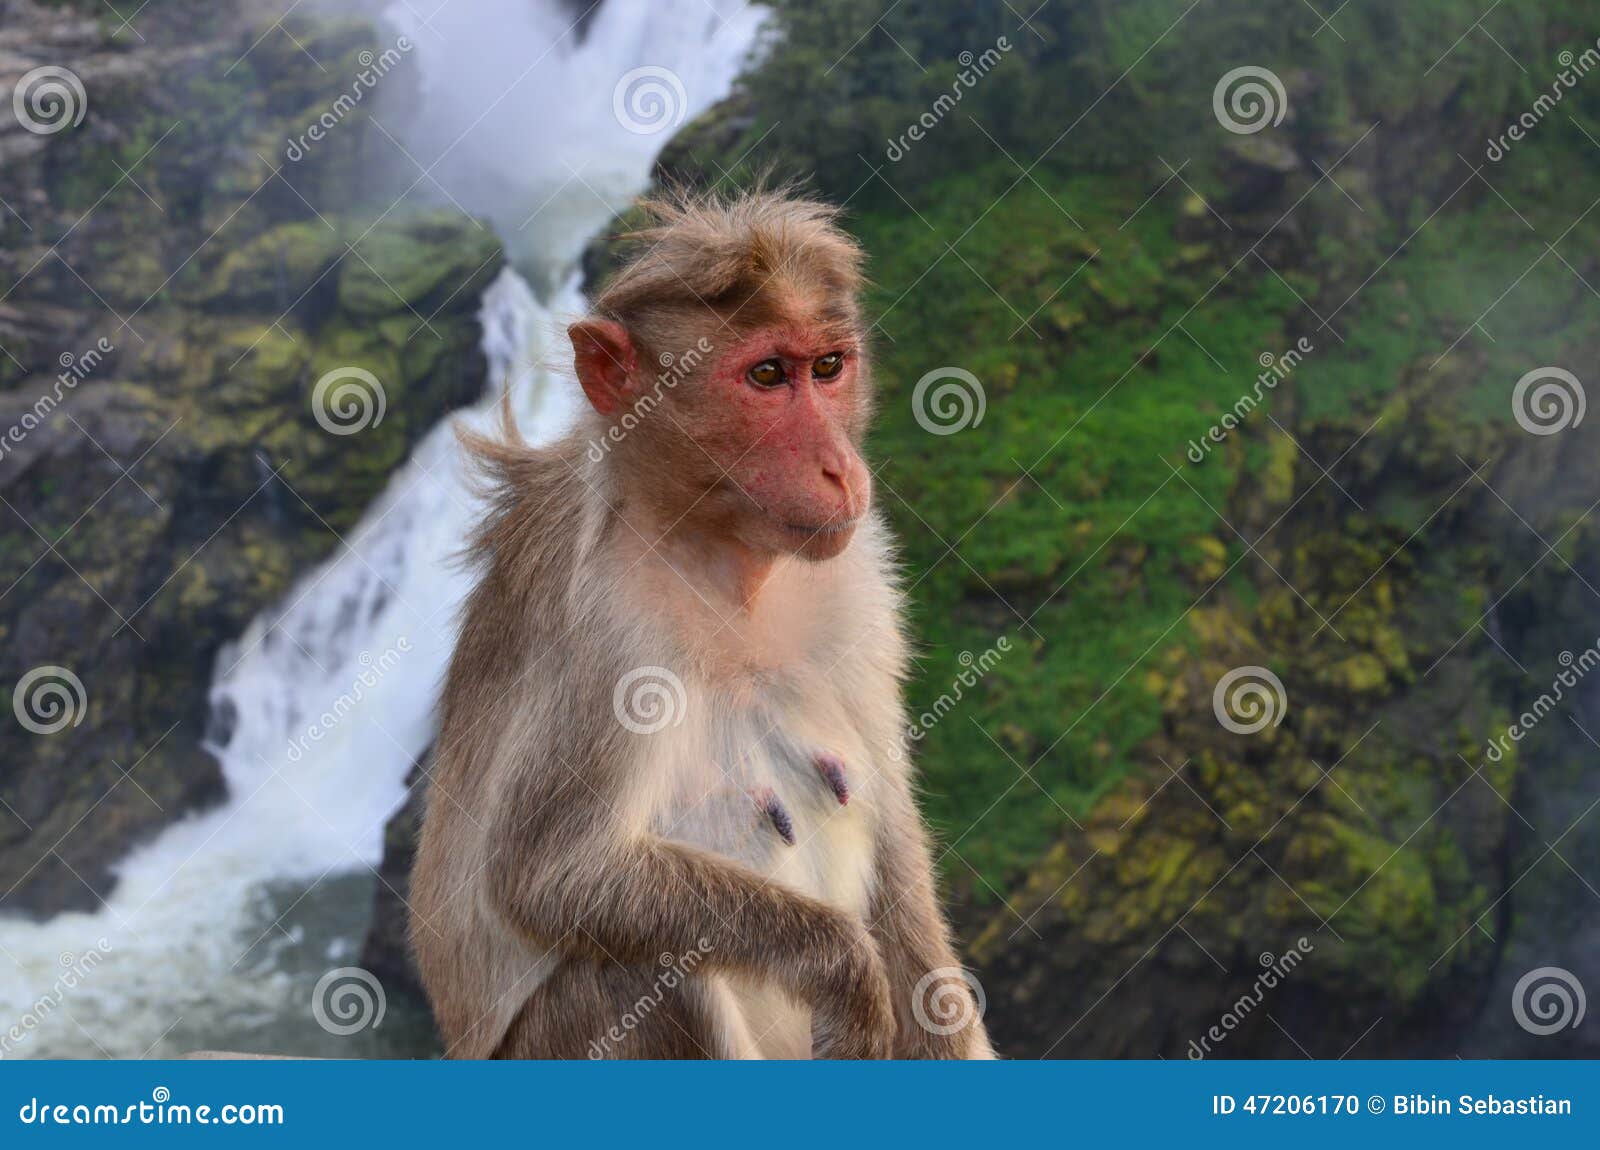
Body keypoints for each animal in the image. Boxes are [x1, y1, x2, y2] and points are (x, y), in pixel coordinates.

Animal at [408, 189, 994, 1060]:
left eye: (827, 367)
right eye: (766, 376)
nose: (839, 468)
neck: (718, 557)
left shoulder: (858, 578)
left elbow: (893, 840)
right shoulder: (607, 627)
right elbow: (545, 874)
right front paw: (847, 976)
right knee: (639, 969)